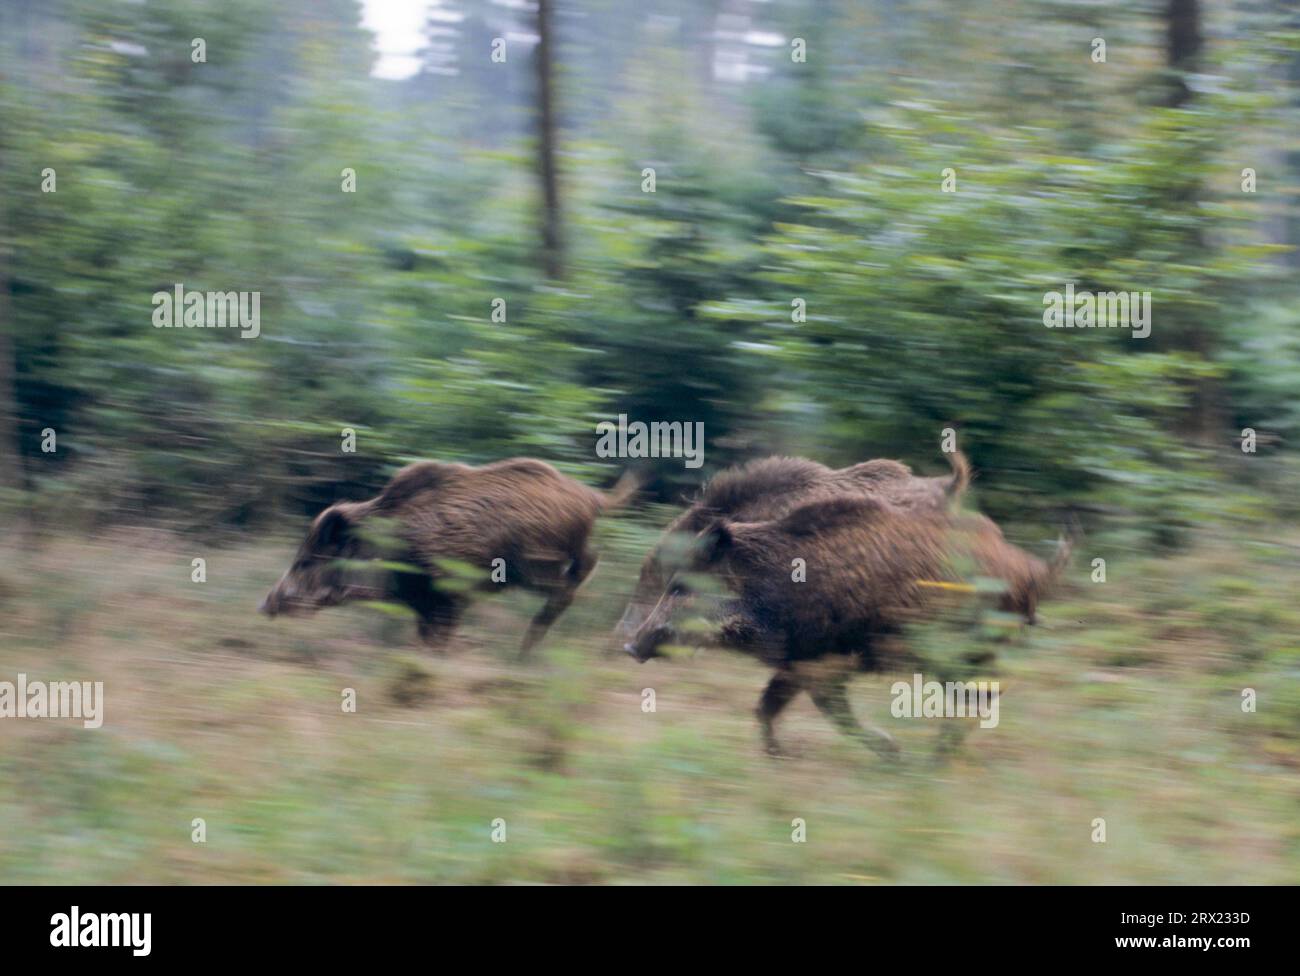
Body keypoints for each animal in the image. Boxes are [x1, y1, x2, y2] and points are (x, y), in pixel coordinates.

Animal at [261, 458, 637, 654]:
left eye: (306, 562)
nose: (264, 604)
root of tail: (591, 496)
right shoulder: (424, 603)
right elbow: (425, 634)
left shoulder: (445, 594)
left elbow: (439, 635)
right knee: (586, 565)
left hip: (537, 562)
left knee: (573, 580)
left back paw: (525, 647)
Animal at [623, 492, 1068, 759]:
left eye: (679, 587)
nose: (630, 647)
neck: (764, 589)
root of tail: (1031, 570)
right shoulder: (797, 663)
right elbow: (766, 705)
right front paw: (776, 757)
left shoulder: (823, 660)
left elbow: (831, 714)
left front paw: (890, 753)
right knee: (981, 698)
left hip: (965, 649)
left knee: (980, 698)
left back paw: (932, 761)